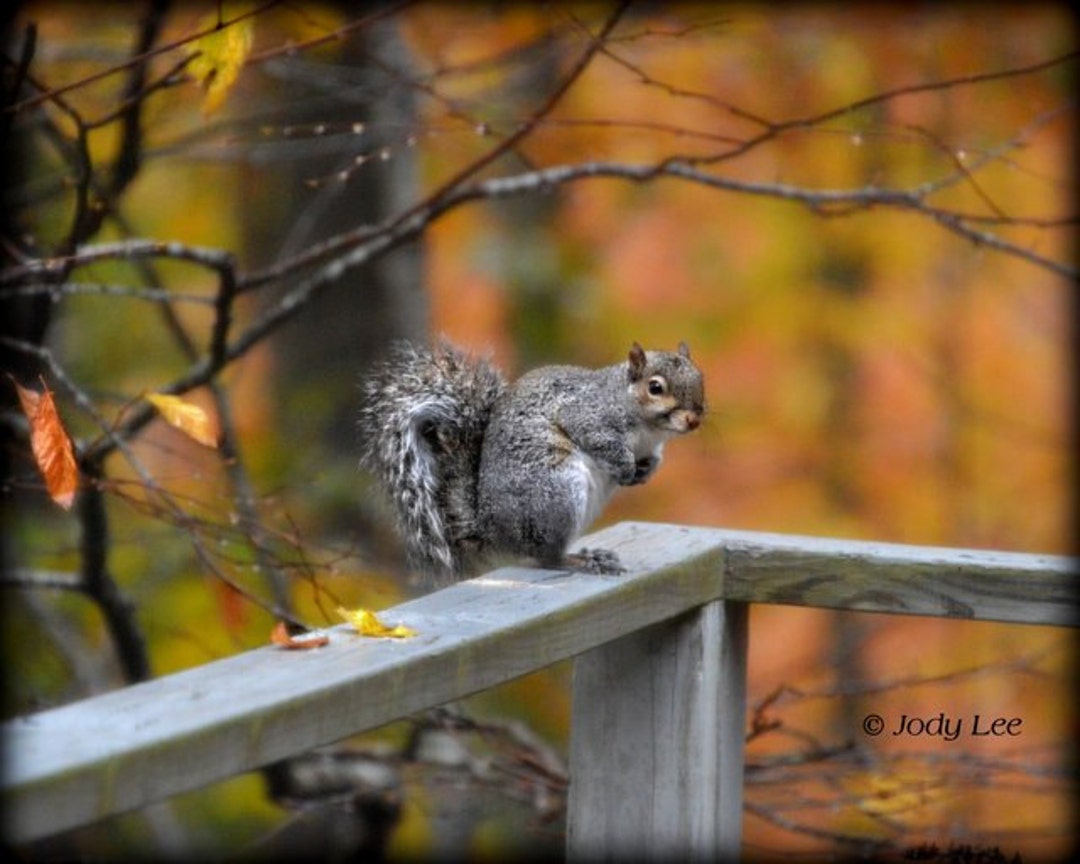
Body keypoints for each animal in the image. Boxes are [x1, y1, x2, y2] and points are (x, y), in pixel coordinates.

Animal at [358, 340, 705, 581]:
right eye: (655, 387)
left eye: (701, 378)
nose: (694, 420)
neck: (649, 430)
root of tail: (494, 531)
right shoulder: (587, 416)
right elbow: (601, 442)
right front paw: (625, 467)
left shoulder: (652, 446)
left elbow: (654, 459)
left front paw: (646, 471)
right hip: (557, 494)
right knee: (545, 557)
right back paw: (581, 561)